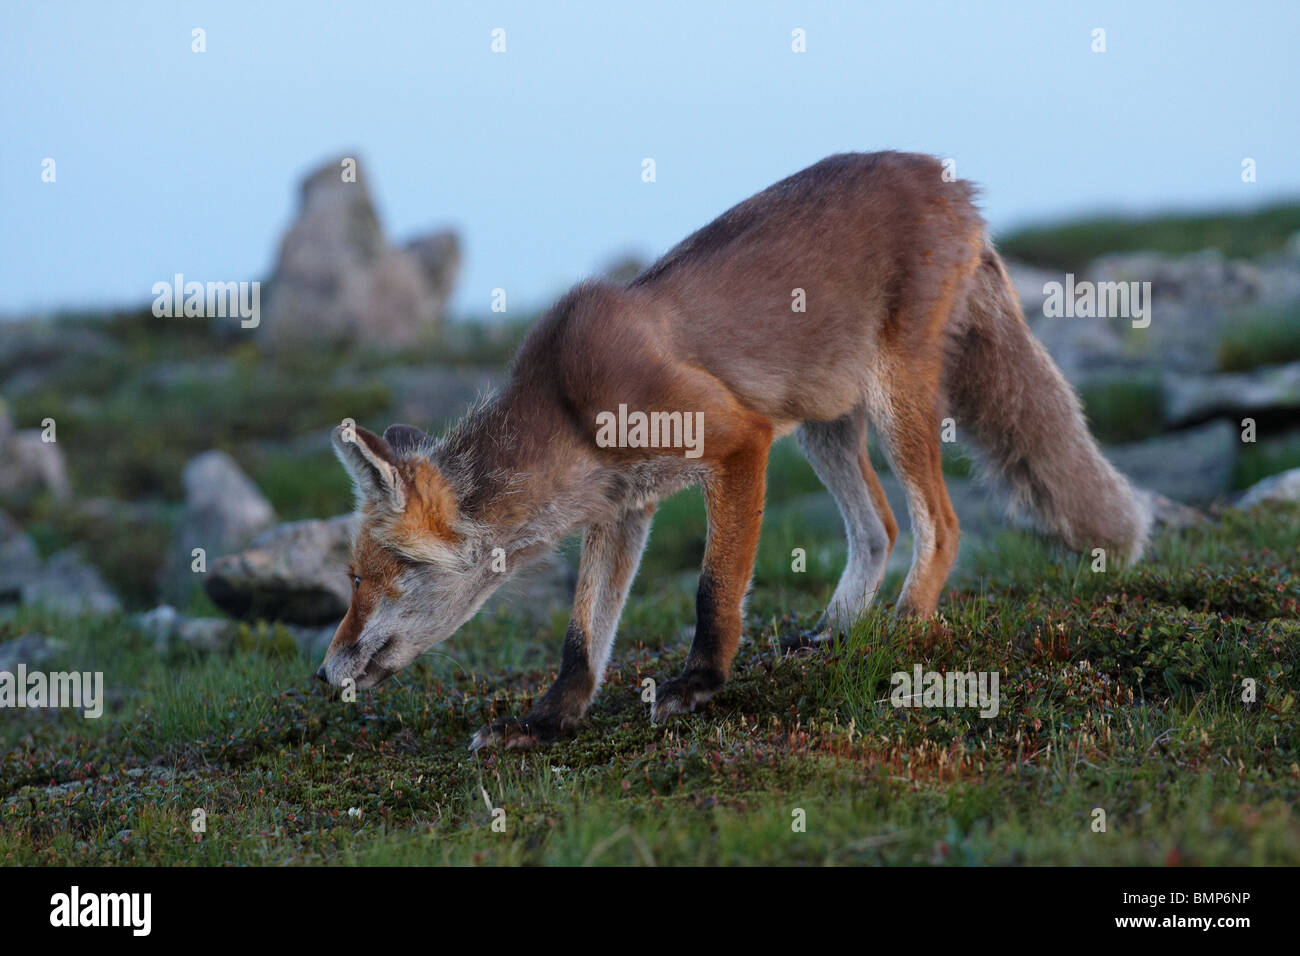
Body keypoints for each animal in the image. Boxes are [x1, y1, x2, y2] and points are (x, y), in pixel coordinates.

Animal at [314, 151, 1151, 750]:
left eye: (360, 579)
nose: (323, 675)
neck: (568, 407)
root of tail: (951, 180)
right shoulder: (623, 510)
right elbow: (583, 638)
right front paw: (548, 722)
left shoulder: (735, 442)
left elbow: (713, 592)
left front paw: (699, 684)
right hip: (823, 422)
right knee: (878, 529)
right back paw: (833, 632)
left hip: (895, 400)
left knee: (938, 526)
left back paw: (904, 627)